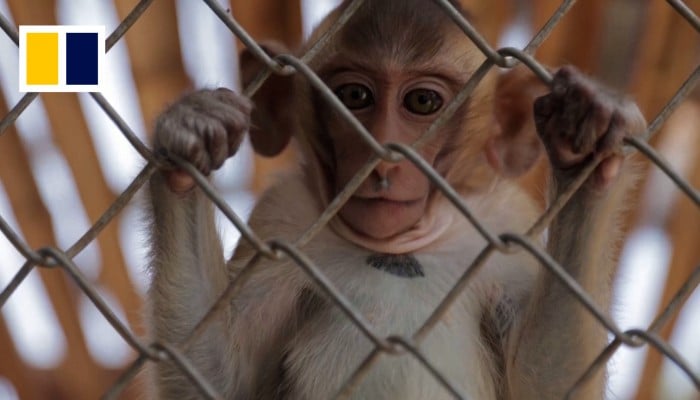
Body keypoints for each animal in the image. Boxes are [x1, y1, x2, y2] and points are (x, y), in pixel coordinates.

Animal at [145, 1, 646, 399]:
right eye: (355, 96)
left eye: (423, 102)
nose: (384, 161)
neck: (399, 248)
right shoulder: (282, 218)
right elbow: (218, 378)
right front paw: (189, 136)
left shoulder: (508, 224)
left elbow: (545, 384)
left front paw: (584, 146)